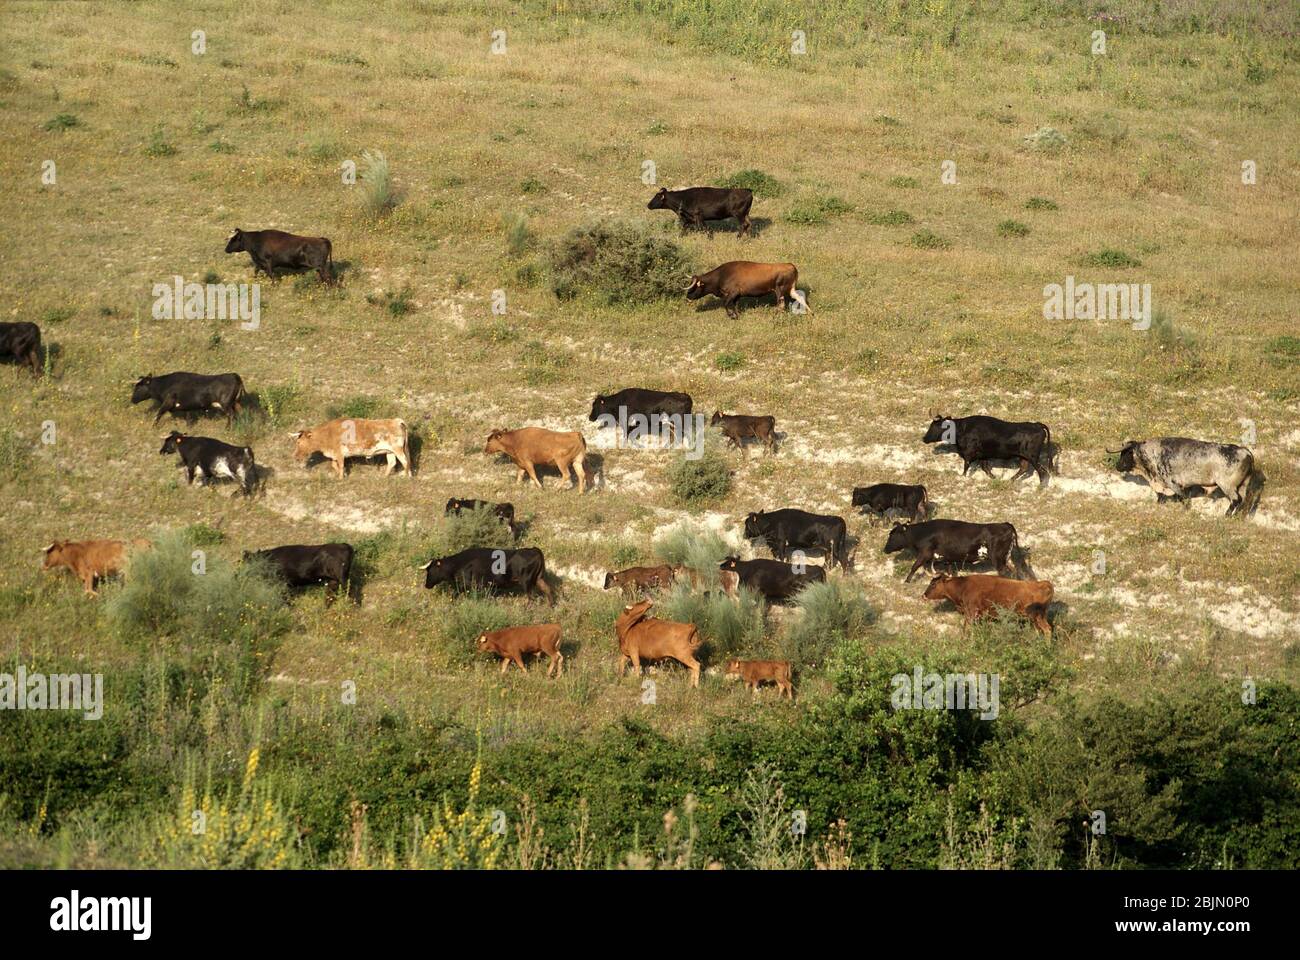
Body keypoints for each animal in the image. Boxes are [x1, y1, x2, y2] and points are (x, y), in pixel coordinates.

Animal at [420, 547, 554, 604]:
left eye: (430, 570)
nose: (426, 585)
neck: (459, 563)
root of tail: (533, 549)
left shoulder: (470, 585)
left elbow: (454, 595)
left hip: (526, 581)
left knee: (531, 598)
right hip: (538, 579)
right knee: (547, 590)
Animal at [883, 519, 1026, 583]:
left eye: (892, 535)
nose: (884, 549)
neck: (924, 532)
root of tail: (1005, 524)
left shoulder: (925, 553)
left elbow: (914, 566)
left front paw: (907, 581)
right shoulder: (947, 559)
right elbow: (949, 572)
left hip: (998, 559)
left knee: (1004, 573)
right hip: (1006, 558)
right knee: (1015, 571)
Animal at [922, 414, 1056, 483]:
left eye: (935, 426)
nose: (924, 438)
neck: (962, 429)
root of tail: (1037, 424)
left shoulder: (969, 454)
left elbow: (966, 466)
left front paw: (962, 477)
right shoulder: (983, 455)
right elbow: (985, 468)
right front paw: (994, 478)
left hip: (1032, 456)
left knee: (1042, 471)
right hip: (1023, 456)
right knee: (1024, 468)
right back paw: (1010, 480)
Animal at [922, 574, 1054, 637]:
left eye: (933, 584)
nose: (924, 595)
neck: (963, 586)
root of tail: (1044, 583)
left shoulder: (971, 613)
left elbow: (967, 629)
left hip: (1038, 616)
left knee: (1047, 630)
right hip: (1035, 618)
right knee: (1039, 630)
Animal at [1111, 437, 1262, 516]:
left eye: (1126, 453)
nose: (1117, 466)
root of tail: (1246, 452)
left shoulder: (1173, 483)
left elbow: (1181, 498)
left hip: (1227, 486)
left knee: (1236, 500)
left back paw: (1226, 515)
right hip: (1243, 485)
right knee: (1243, 501)